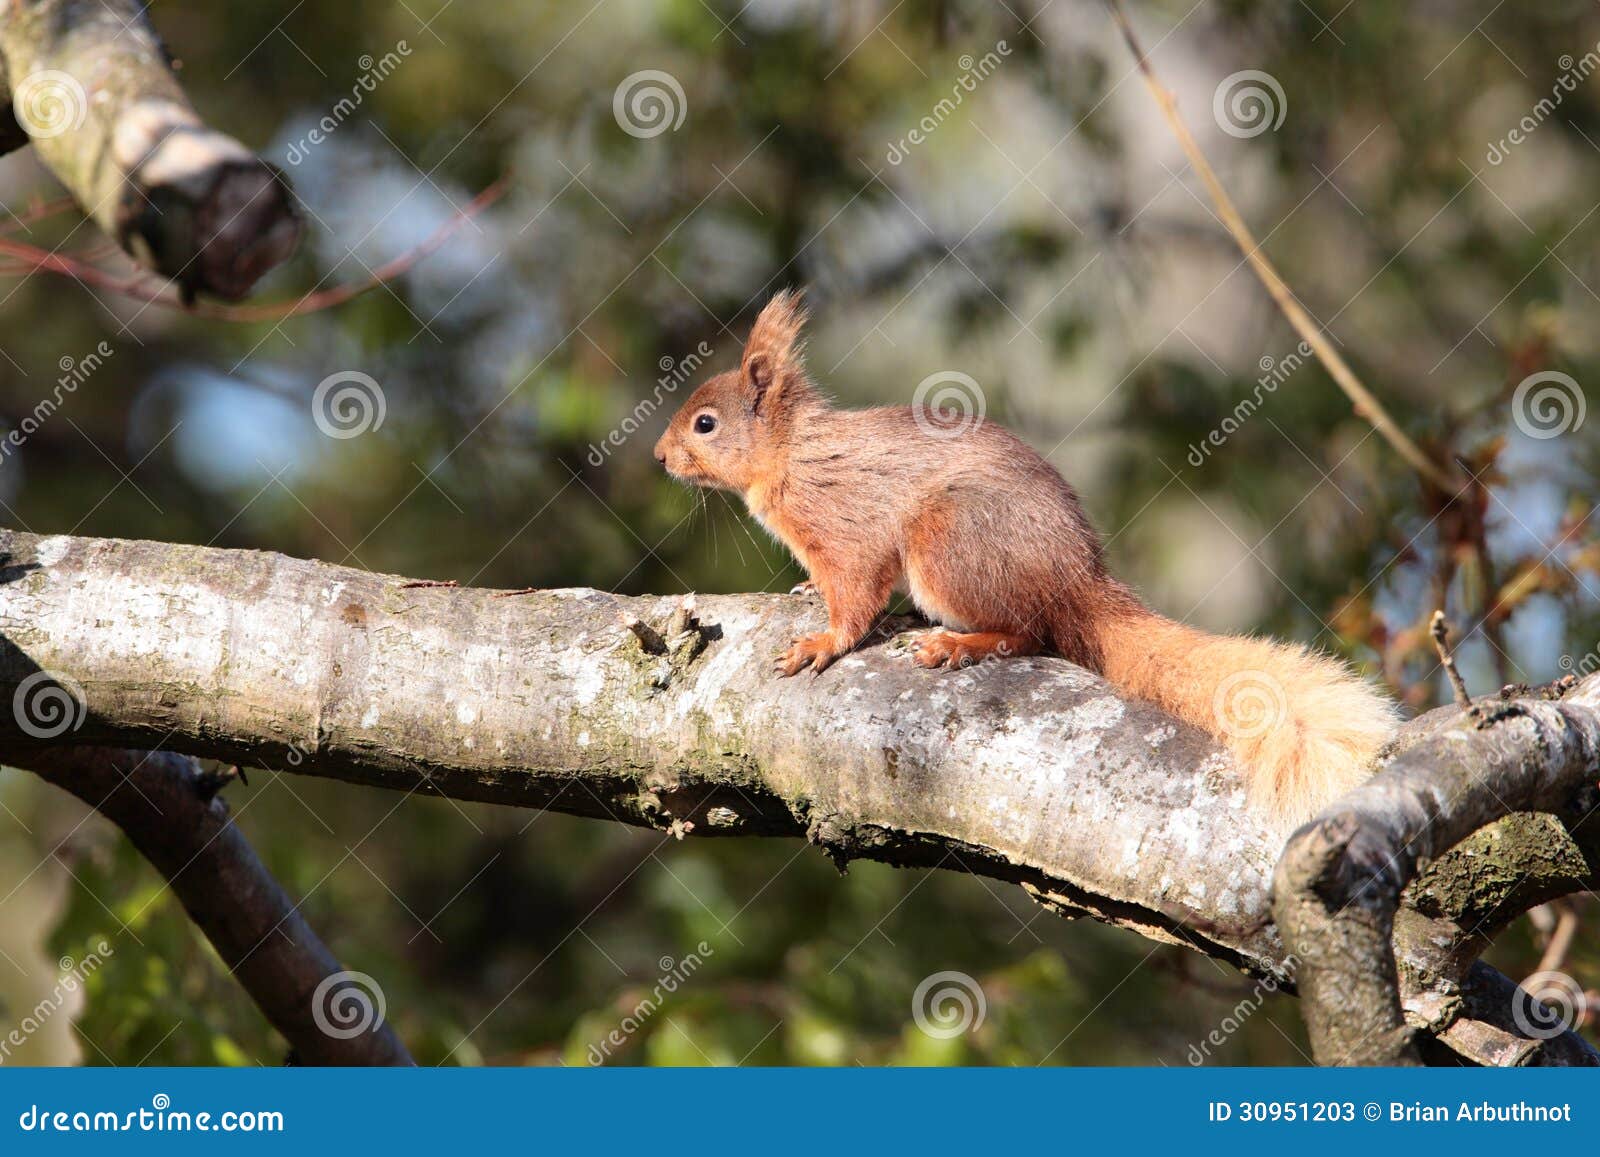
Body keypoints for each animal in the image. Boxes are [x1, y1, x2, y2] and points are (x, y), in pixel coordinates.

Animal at [653, 291, 1399, 827]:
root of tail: (1079, 582)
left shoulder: (846, 523)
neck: (790, 453)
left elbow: (858, 593)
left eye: (705, 424)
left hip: (948, 543)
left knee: (1032, 630)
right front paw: (807, 593)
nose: (659, 457)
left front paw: (823, 641)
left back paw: (961, 644)